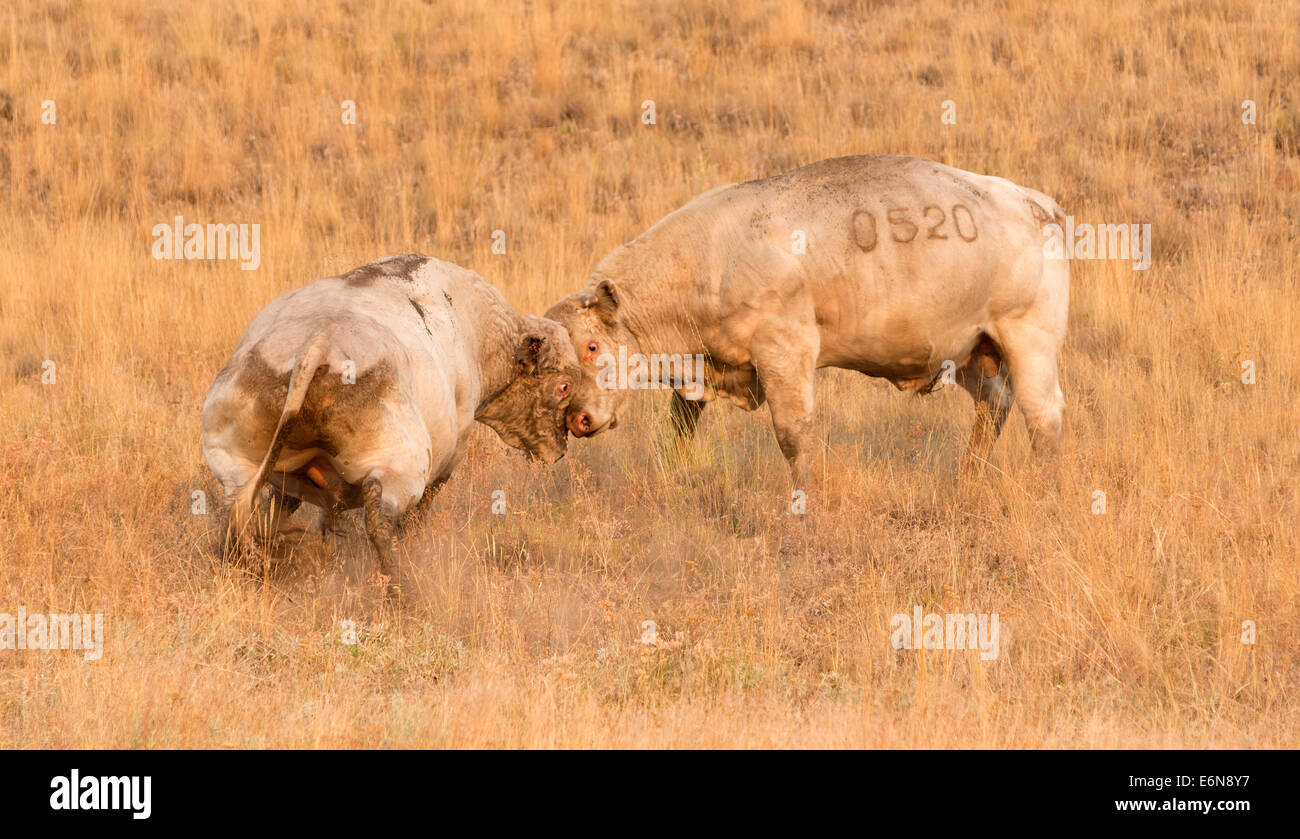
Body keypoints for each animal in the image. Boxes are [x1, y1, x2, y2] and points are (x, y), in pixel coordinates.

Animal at [202, 254, 590, 595]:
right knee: (379, 520)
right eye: (564, 386)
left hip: (234, 461)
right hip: (401, 464)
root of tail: (319, 342)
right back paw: (400, 590)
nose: (561, 446)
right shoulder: (449, 456)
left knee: (237, 513)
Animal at [547, 155, 1070, 485]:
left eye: (591, 346)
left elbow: (793, 436)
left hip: (1028, 342)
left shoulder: (785, 354)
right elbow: (681, 425)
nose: (578, 419)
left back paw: (1042, 487)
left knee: (1043, 417)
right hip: (972, 354)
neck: (711, 257)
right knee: (995, 405)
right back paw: (968, 479)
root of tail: (1033, 202)